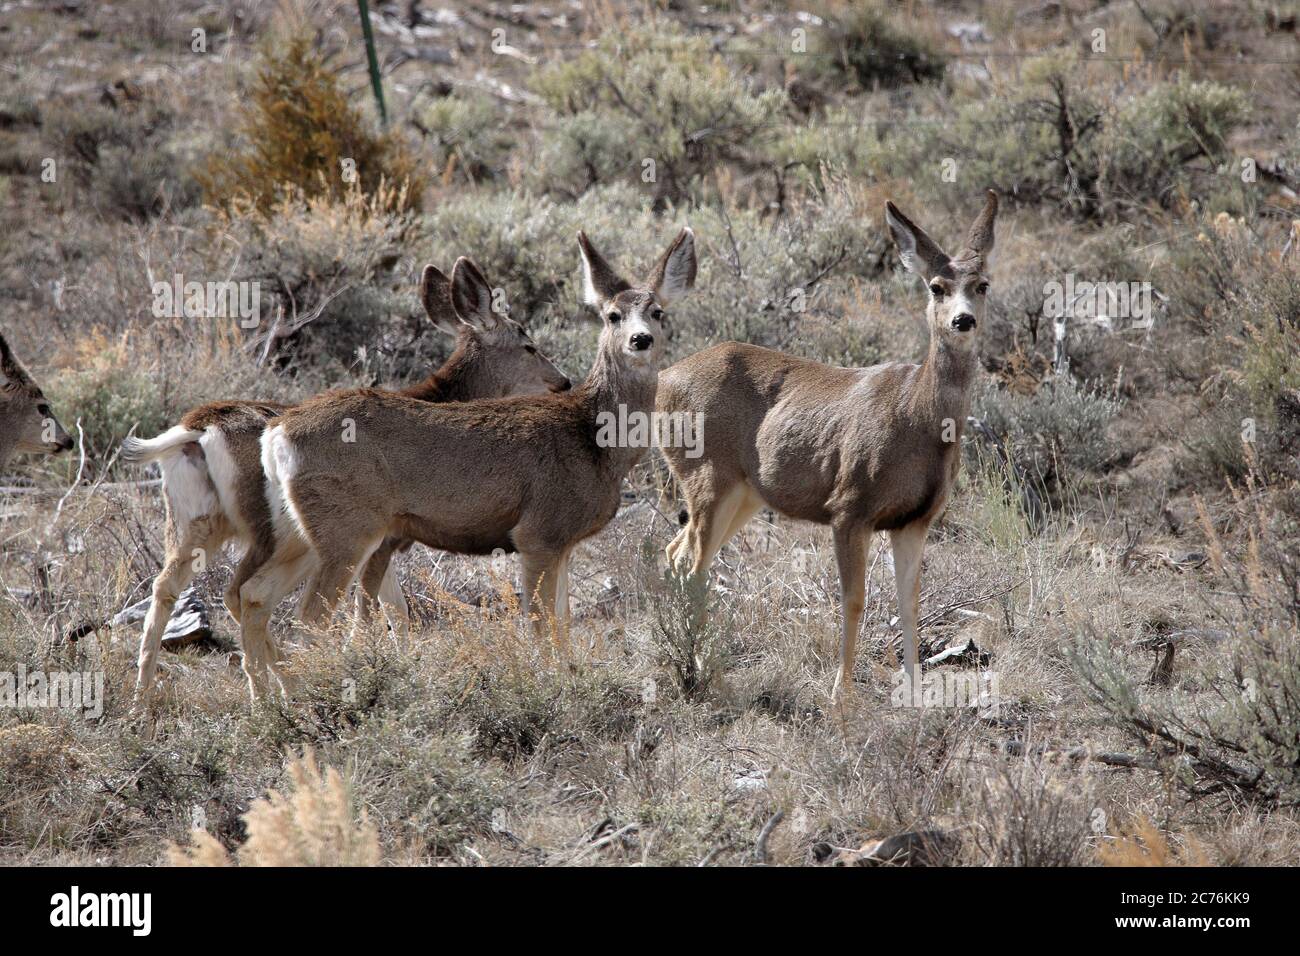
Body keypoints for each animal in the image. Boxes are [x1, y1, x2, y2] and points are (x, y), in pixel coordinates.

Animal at [122, 260, 570, 704]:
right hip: (278, 531)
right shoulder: (386, 535)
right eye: (529, 345)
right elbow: (389, 611)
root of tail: (198, 429)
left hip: (193, 523)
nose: (563, 381)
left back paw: (145, 696)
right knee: (244, 593)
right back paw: (284, 686)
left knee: (171, 587)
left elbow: (394, 609)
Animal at [232, 229, 696, 699]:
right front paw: (549, 686)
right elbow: (541, 625)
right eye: (612, 315)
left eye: (657, 312)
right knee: (309, 618)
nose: (641, 340)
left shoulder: (563, 542)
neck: (593, 440)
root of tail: (277, 432)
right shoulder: (539, 531)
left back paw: (272, 701)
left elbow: (563, 624)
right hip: (347, 526)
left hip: (298, 531)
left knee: (253, 593)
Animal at [656, 190, 997, 707]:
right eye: (937, 287)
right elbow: (854, 600)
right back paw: (703, 675)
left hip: (744, 494)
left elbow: (910, 602)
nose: (964, 320)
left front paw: (914, 694)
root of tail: (662, 381)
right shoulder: (849, 505)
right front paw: (842, 695)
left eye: (982, 285)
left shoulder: (915, 520)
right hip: (706, 476)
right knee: (693, 566)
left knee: (678, 553)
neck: (915, 415)